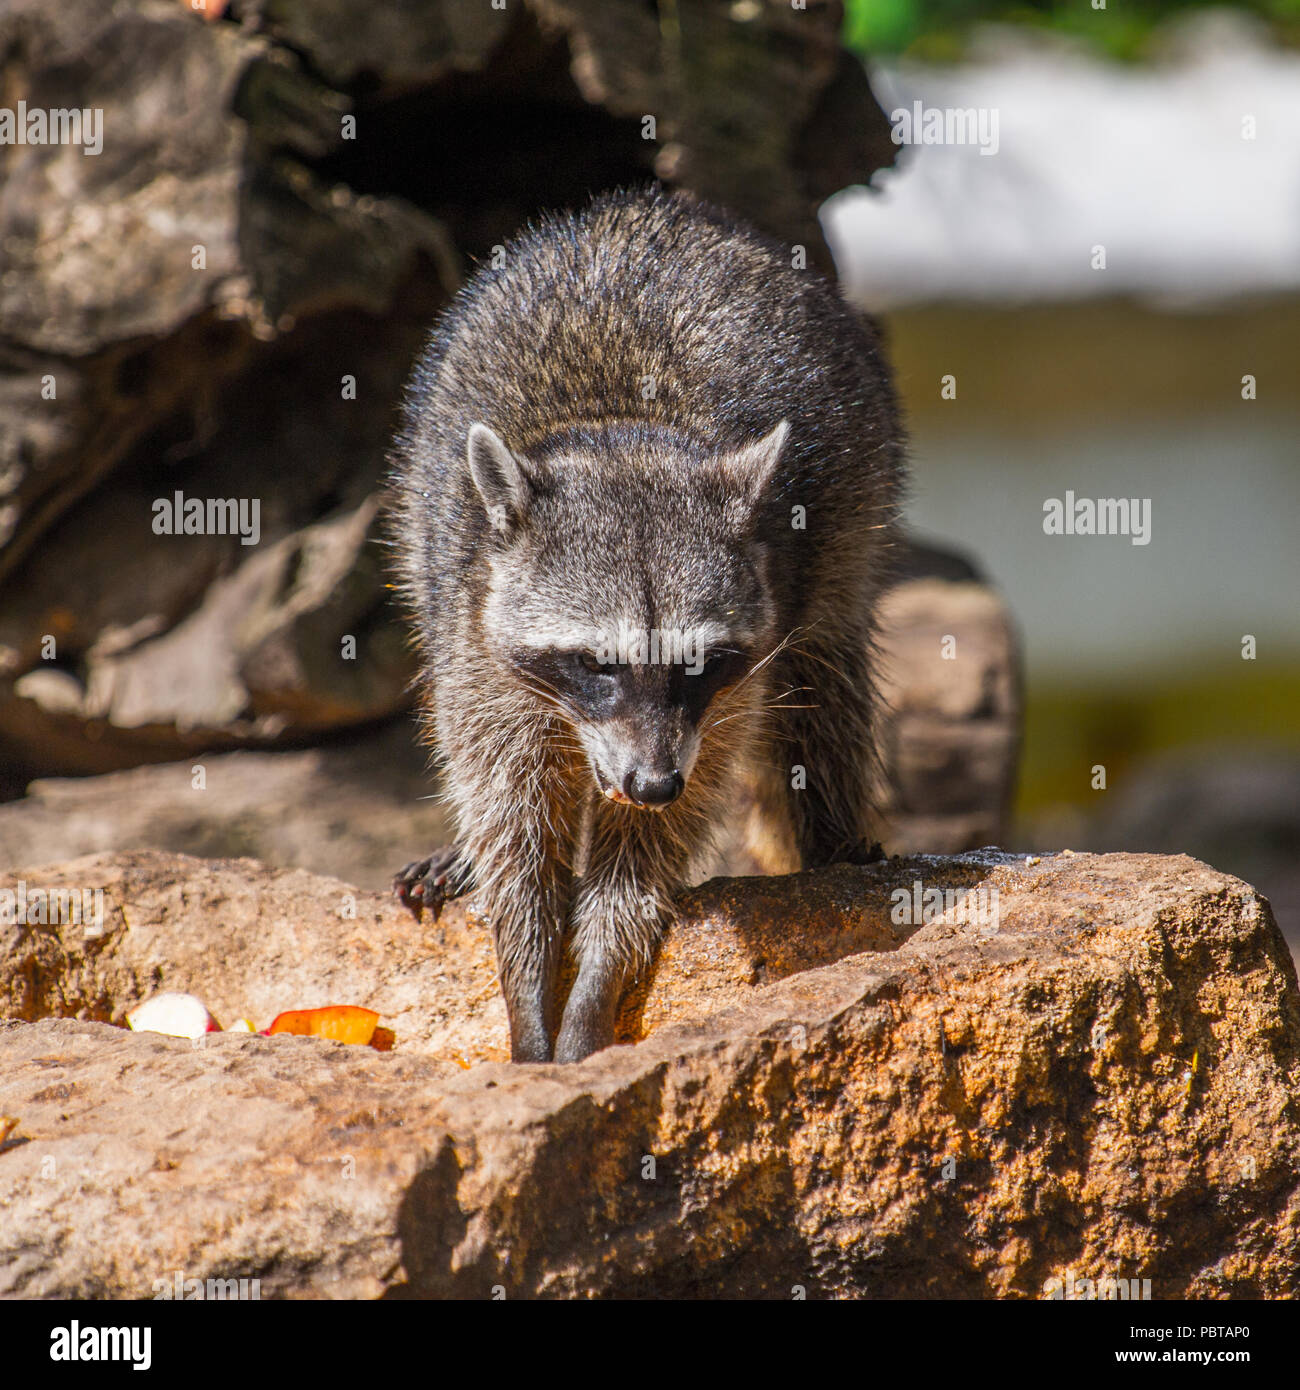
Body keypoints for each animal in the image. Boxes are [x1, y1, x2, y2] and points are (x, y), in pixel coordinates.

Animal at [389, 185, 903, 1063]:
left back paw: (833, 838)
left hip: (853, 499)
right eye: (598, 663)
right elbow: (510, 809)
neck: (622, 428)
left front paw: (594, 984)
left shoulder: (729, 687)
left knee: (824, 676)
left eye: (697, 664)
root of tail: (658, 207)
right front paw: (525, 979)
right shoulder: (474, 624)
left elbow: (656, 839)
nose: (654, 782)